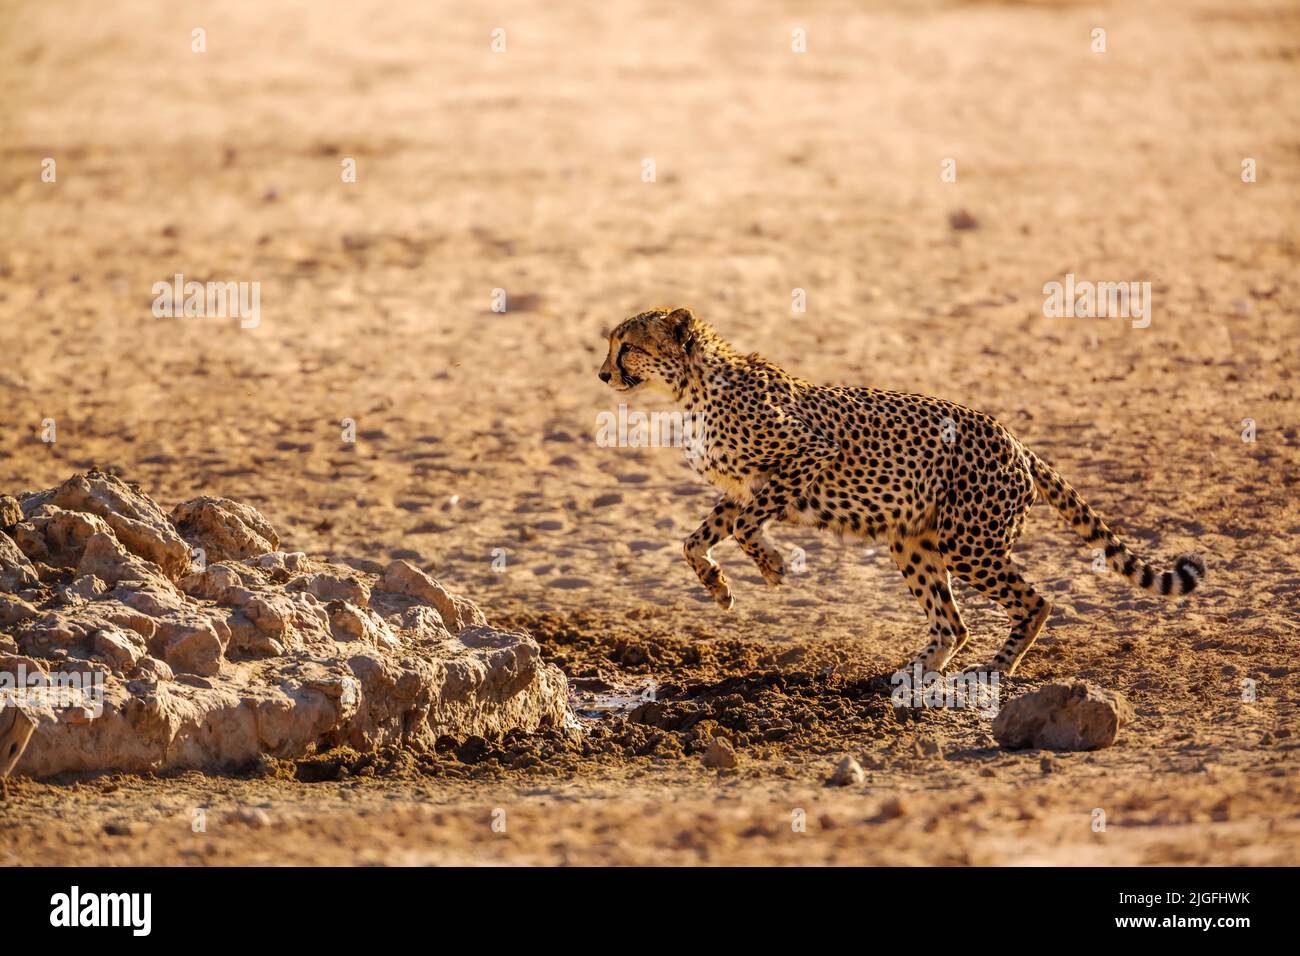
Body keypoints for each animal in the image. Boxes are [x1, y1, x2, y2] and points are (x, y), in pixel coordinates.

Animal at [597, 307, 1207, 676]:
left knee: (1035, 602)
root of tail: (1014, 440)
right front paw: (719, 588)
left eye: (626, 346)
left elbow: (748, 528)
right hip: (914, 541)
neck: (693, 388)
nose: (603, 375)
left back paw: (996, 669)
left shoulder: (807, 456)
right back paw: (916, 673)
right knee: (953, 623)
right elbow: (693, 540)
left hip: (969, 544)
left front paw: (770, 566)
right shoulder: (741, 488)